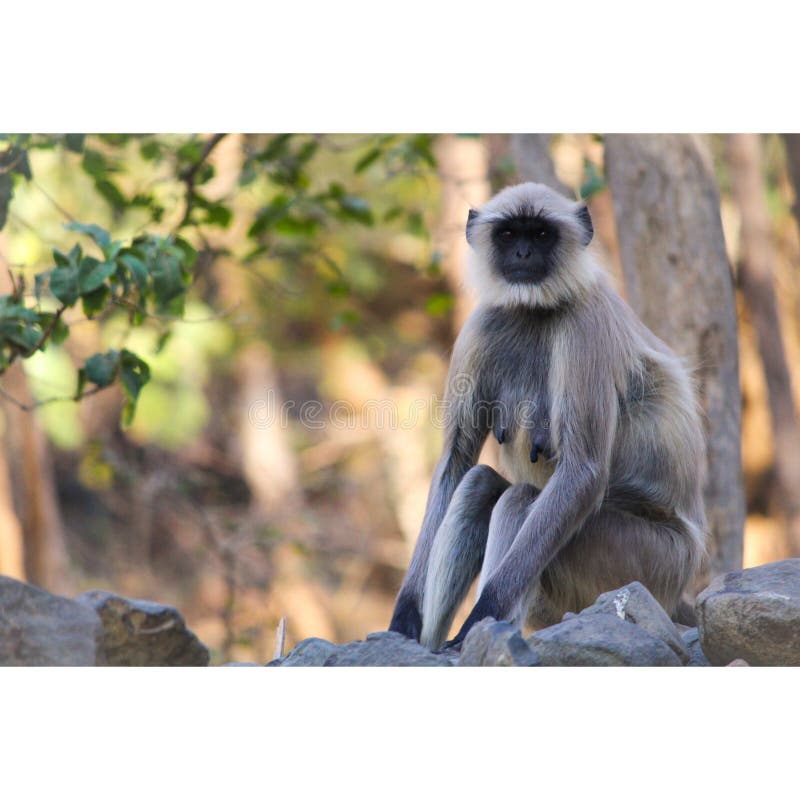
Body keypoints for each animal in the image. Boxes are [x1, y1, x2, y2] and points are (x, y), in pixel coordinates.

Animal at [388, 182, 707, 651]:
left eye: (540, 234)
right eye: (508, 234)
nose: (522, 254)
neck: (533, 309)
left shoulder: (586, 325)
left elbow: (583, 470)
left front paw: (482, 614)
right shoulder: (480, 325)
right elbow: (456, 461)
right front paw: (406, 612)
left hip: (642, 560)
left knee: (520, 497)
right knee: (480, 484)